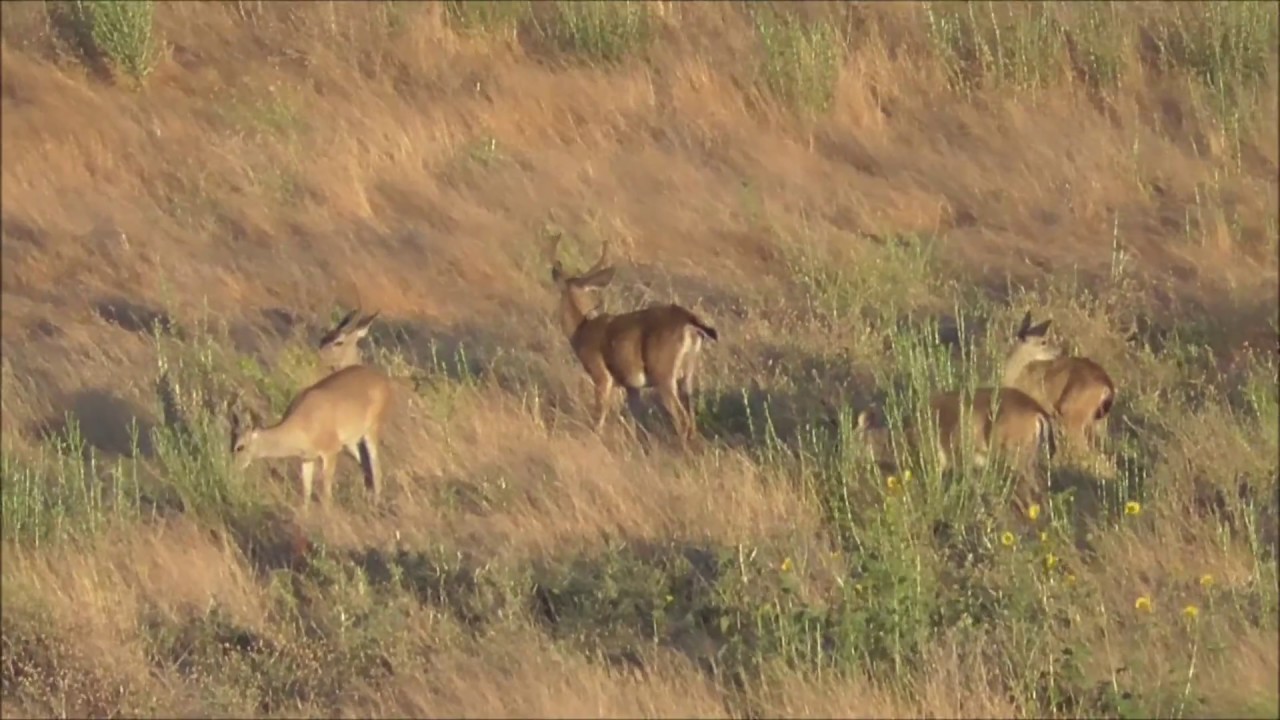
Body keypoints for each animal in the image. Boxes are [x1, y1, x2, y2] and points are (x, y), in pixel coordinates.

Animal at [547, 234, 719, 449]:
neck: (581, 329)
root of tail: (689, 322)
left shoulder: (601, 374)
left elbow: (599, 415)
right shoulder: (632, 386)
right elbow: (639, 420)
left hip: (663, 373)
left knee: (682, 418)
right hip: (687, 375)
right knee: (691, 417)